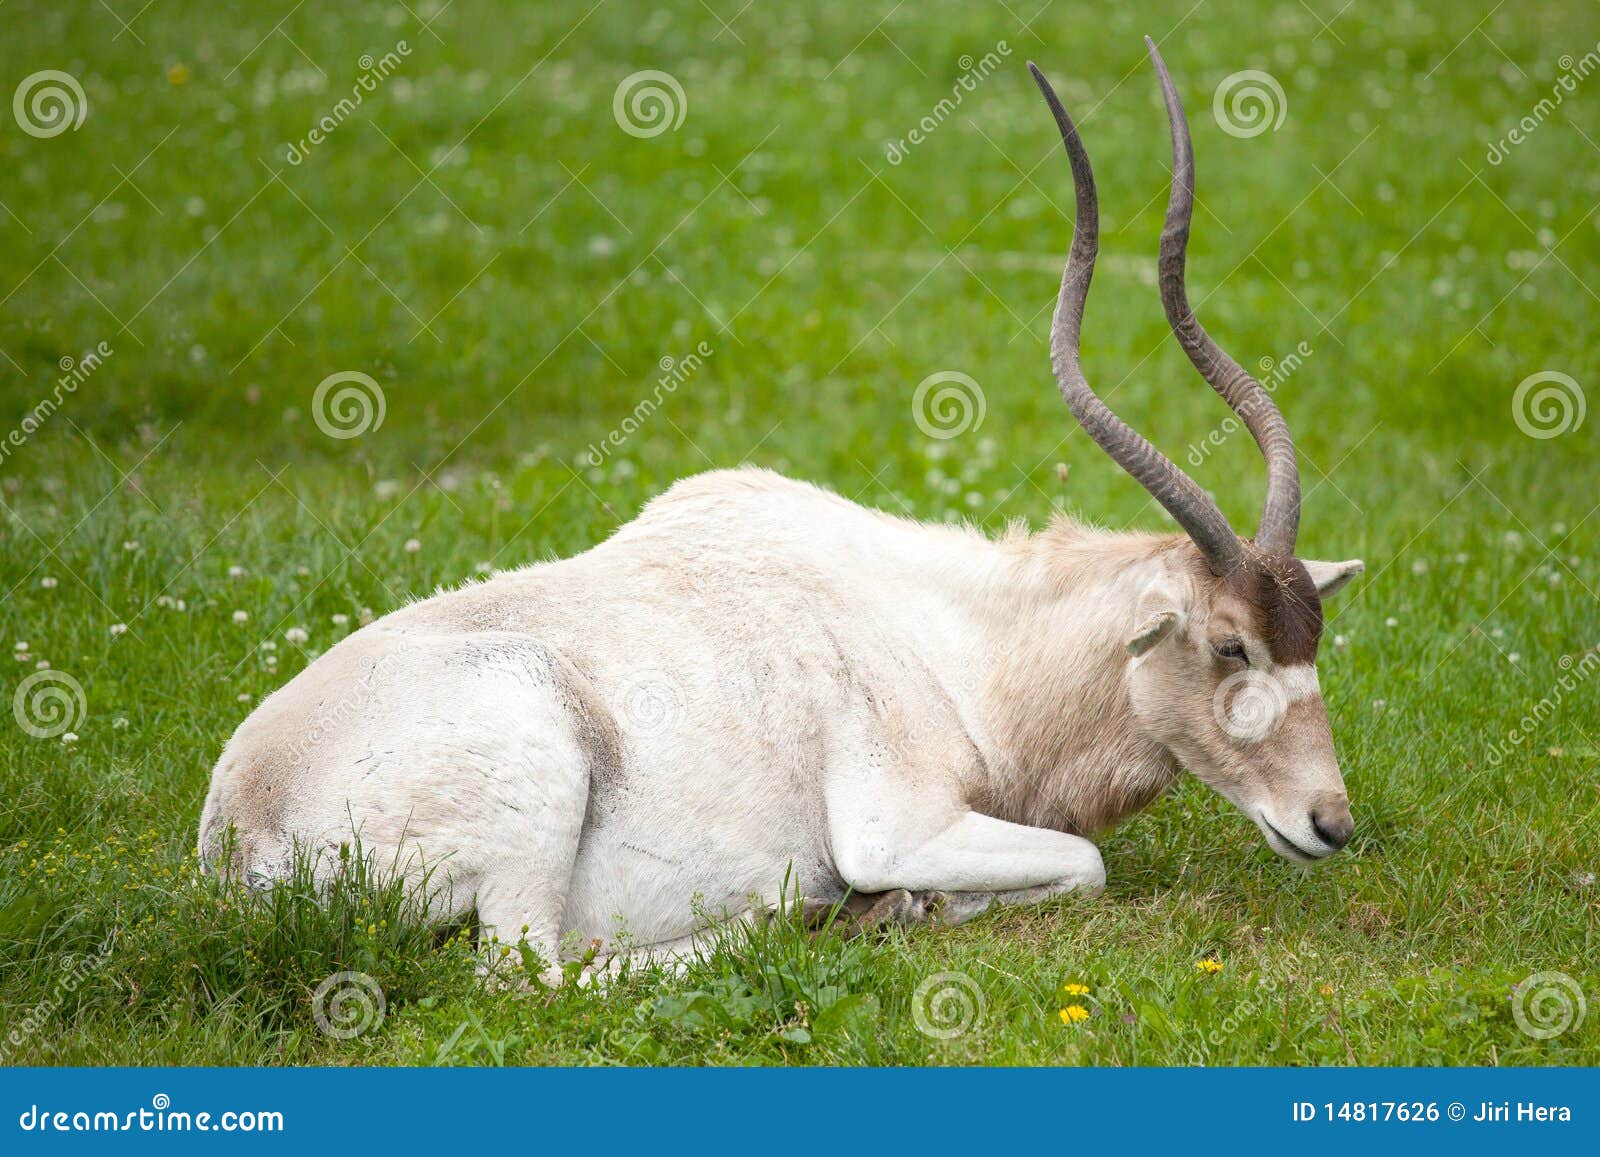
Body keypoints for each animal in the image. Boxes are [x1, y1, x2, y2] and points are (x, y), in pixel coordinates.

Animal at [199, 41, 1363, 976]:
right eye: (1229, 645)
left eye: (1312, 639)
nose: (1332, 823)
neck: (955, 642)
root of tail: (238, 828)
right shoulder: (898, 824)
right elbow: (1086, 862)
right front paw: (905, 903)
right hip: (536, 776)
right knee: (531, 971)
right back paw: (799, 915)